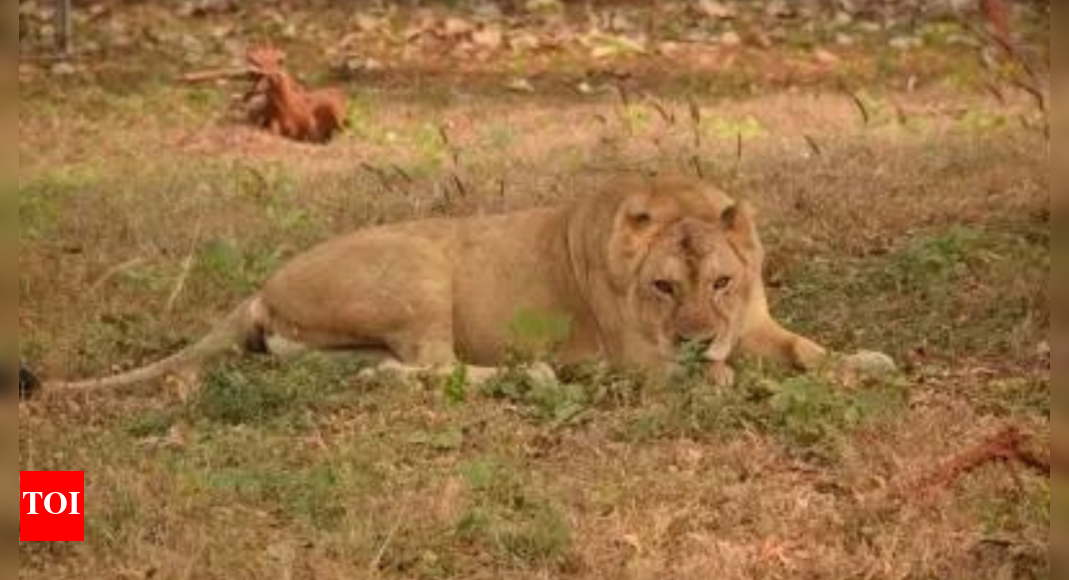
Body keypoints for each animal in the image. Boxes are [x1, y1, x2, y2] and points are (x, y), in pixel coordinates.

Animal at [38, 174, 827, 395]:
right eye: (662, 288)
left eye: (721, 281)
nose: (696, 339)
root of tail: (261, 286)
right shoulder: (640, 360)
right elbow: (718, 376)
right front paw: (723, 375)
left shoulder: (755, 323)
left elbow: (807, 350)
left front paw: (850, 366)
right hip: (420, 269)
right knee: (440, 367)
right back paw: (537, 375)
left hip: (342, 345)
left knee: (395, 371)